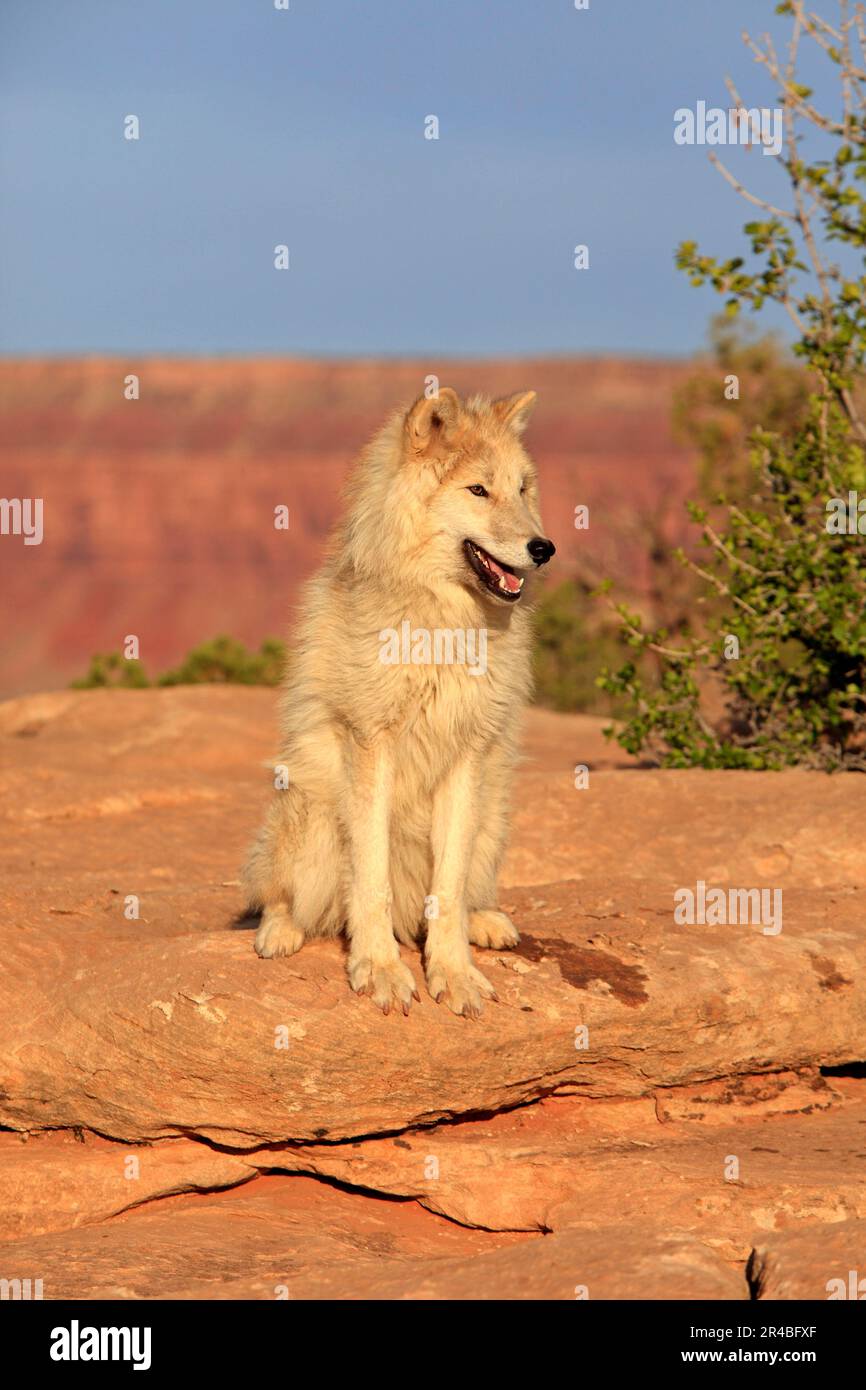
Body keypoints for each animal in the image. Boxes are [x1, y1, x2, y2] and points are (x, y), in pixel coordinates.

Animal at [243, 386, 555, 1017]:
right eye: (477, 490)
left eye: (522, 488)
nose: (544, 547)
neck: (444, 626)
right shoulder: (371, 745)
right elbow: (372, 882)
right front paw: (381, 969)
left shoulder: (466, 756)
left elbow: (449, 888)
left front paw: (453, 974)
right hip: (310, 815)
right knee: (281, 895)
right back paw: (279, 933)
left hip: (494, 814)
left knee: (467, 890)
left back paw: (486, 920)